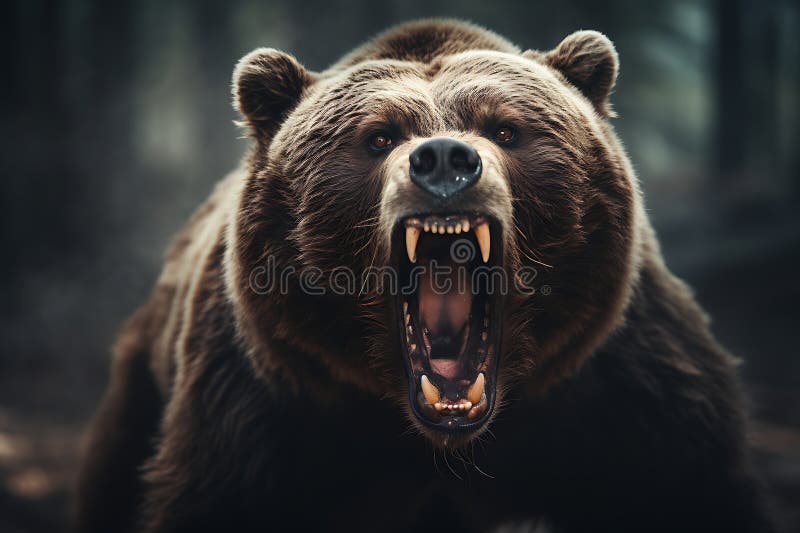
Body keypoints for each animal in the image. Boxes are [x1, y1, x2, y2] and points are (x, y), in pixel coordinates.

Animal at [74, 19, 774, 533]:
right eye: (378, 137)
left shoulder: (628, 393)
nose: (443, 159)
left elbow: (692, 485)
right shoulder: (264, 409)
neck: (445, 442)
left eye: (505, 128)